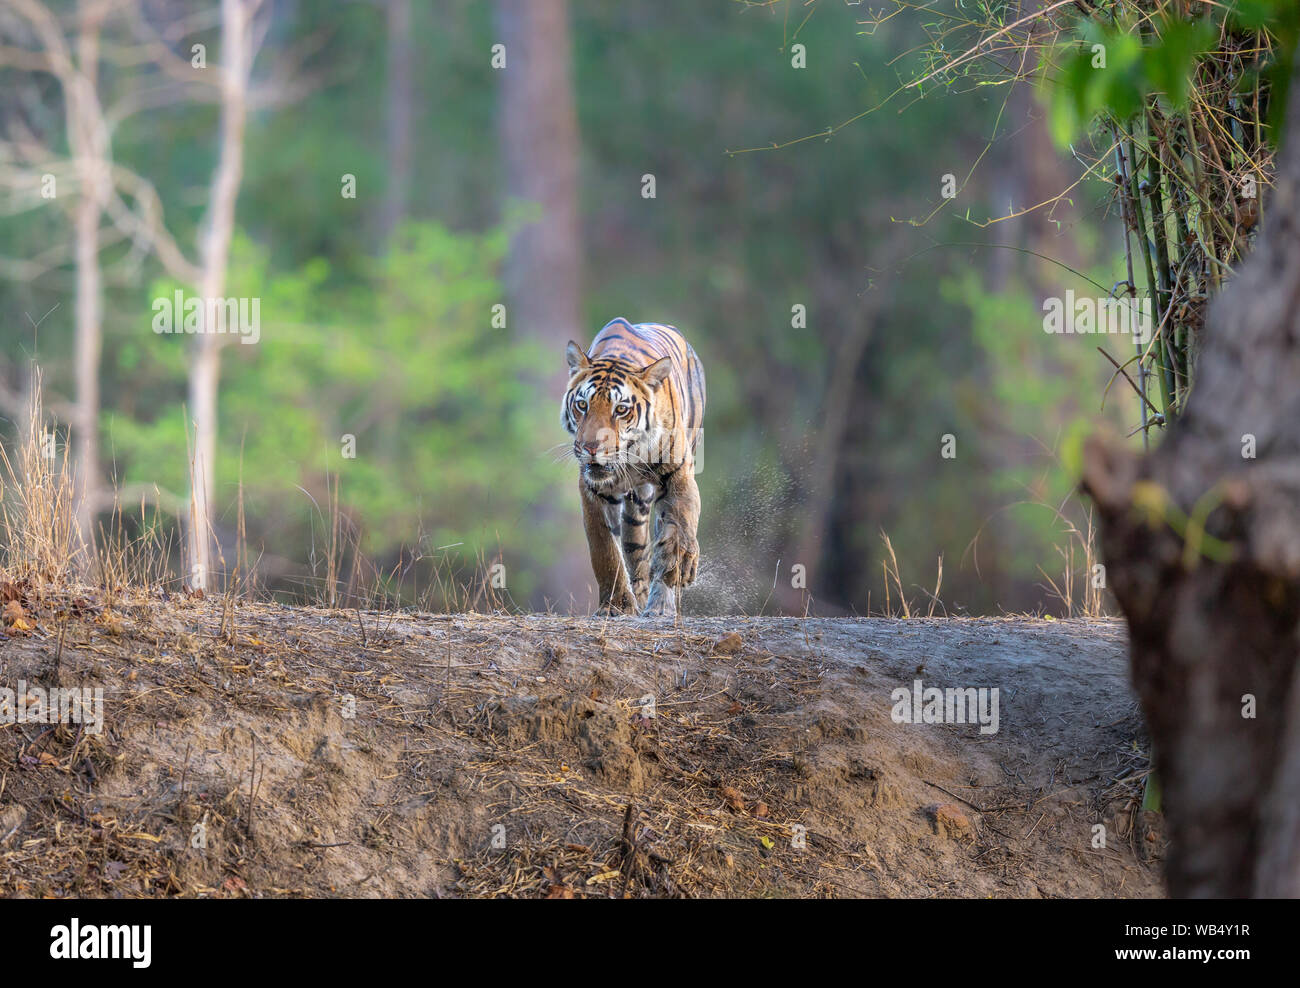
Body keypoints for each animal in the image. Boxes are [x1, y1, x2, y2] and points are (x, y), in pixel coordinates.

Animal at [562, 318, 706, 617]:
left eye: (621, 409)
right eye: (582, 405)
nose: (591, 448)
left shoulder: (679, 472)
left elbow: (682, 521)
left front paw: (680, 567)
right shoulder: (591, 489)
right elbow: (604, 548)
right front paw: (615, 605)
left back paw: (660, 605)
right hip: (635, 511)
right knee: (636, 555)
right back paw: (640, 600)